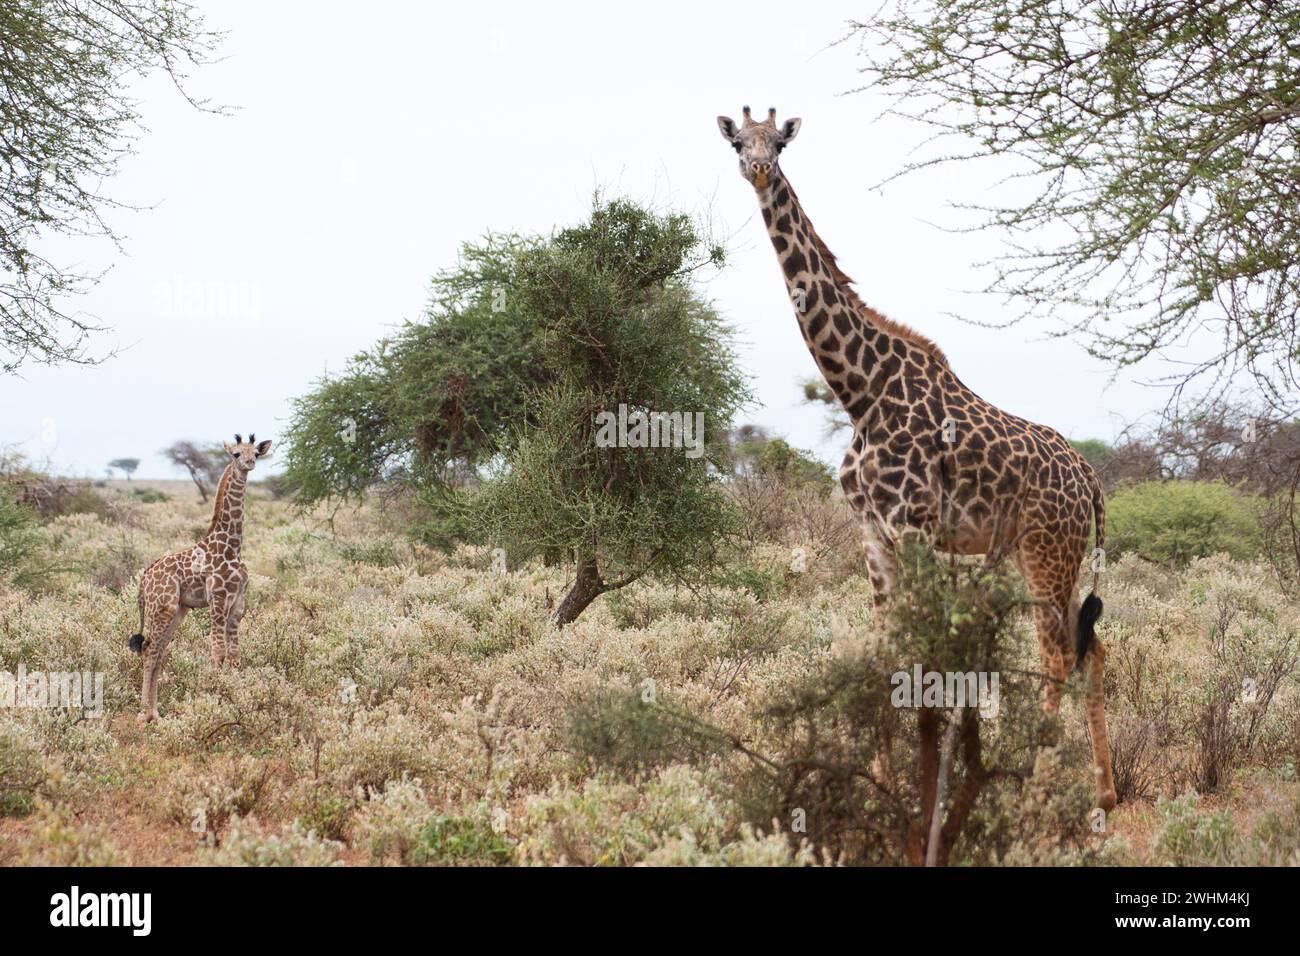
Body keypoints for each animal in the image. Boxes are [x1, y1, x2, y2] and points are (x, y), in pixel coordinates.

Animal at [129, 434, 272, 725]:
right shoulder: (218, 600)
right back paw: (143, 715)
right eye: (236, 454)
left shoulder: (238, 604)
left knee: (160, 652)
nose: (249, 464)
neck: (232, 545)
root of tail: (145, 576)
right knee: (150, 649)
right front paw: (216, 708)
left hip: (178, 611)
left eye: (255, 453)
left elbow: (235, 654)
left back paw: (156, 714)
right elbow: (217, 653)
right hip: (162, 608)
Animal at [717, 107, 1116, 814]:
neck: (861, 392)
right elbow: (884, 656)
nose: (759, 169)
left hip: (1048, 552)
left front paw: (927, 784)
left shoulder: (915, 528)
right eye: (738, 142)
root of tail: (1091, 479)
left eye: (779, 143)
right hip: (1047, 555)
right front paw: (880, 779)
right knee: (1090, 649)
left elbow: (925, 656)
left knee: (1057, 656)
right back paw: (1104, 791)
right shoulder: (873, 534)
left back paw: (1035, 786)